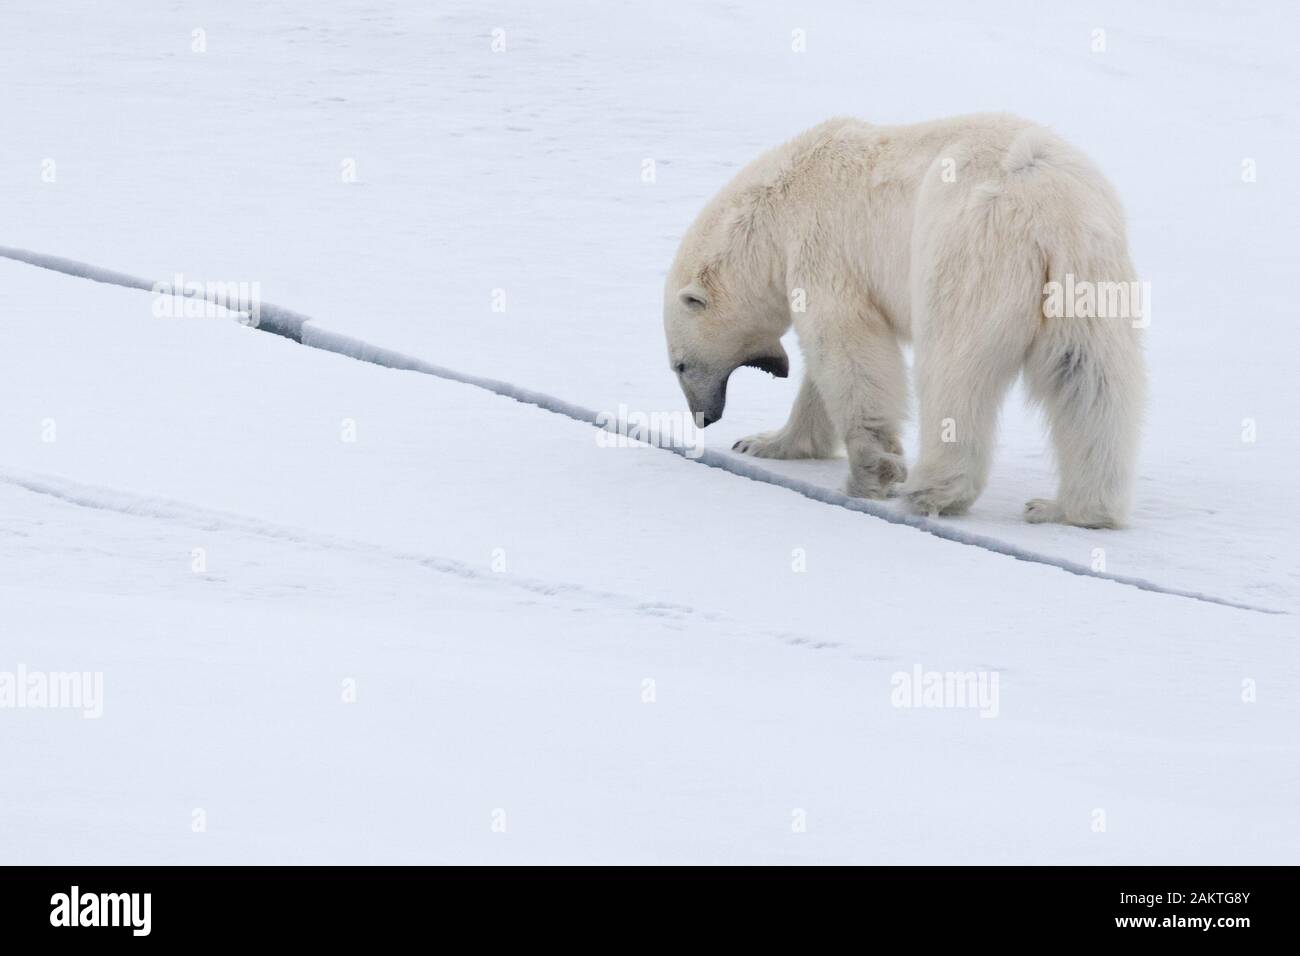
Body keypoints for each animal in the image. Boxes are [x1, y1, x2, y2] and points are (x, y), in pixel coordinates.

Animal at [663, 114, 1145, 528]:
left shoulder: (823, 246)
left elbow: (845, 347)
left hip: (969, 250)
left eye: (680, 365)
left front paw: (869, 475)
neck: (777, 208)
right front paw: (765, 442)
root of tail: (1048, 208)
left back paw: (930, 493)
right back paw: (1071, 509)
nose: (705, 417)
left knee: (954, 371)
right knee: (1088, 378)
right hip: (1088, 274)